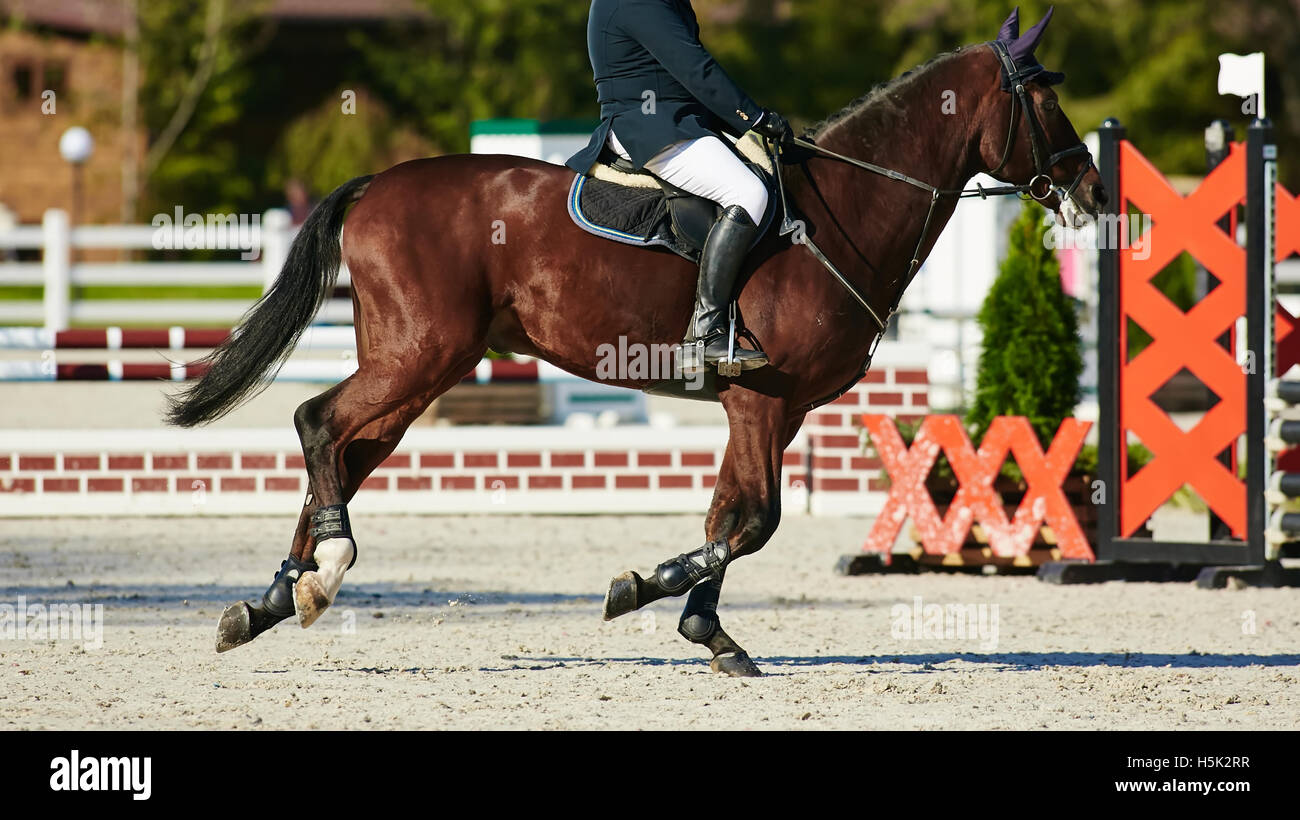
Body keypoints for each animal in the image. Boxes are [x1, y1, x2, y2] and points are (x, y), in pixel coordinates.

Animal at [169, 10, 1105, 677]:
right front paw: (639, 591)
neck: (844, 206)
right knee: (319, 424)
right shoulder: (762, 400)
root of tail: (375, 187)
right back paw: (324, 570)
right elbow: (754, 521)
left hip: (418, 366)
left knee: (345, 450)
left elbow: (730, 514)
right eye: (1043, 100)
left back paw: (274, 601)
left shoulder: (775, 409)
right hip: (417, 355)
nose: (1094, 191)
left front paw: (709, 632)